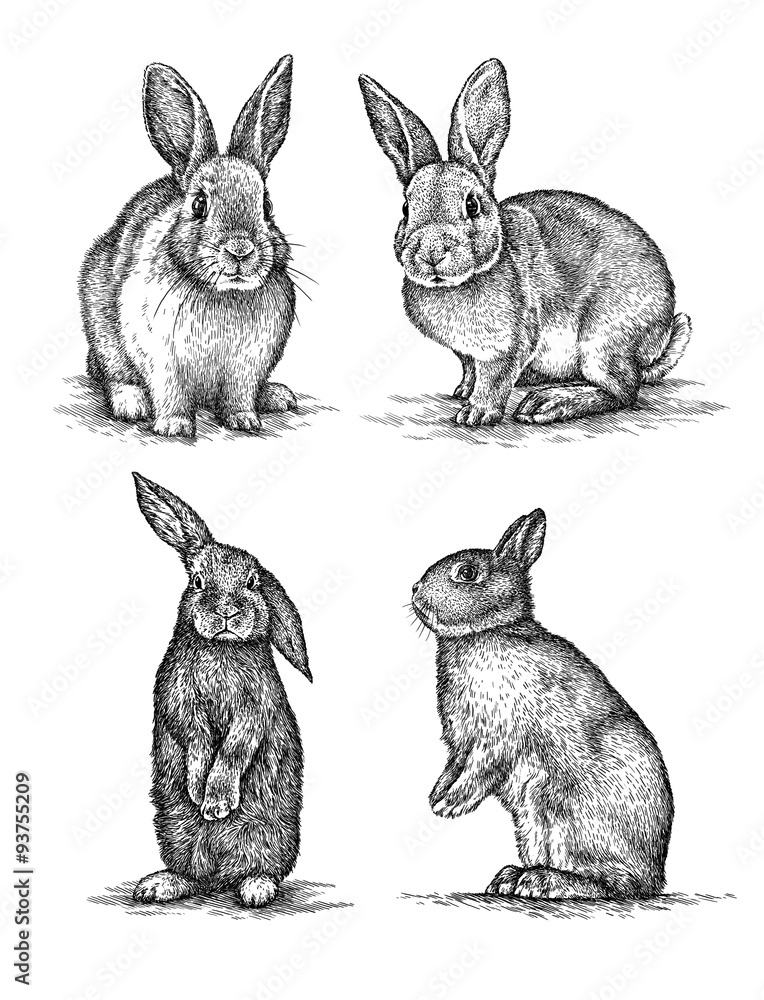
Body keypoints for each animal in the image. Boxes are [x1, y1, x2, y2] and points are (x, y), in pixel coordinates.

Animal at [79, 56, 301, 438]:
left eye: (267, 206)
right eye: (198, 204)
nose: (240, 250)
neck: (224, 294)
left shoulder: (248, 364)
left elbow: (239, 394)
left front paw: (244, 419)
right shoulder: (161, 357)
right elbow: (170, 391)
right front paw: (175, 426)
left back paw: (275, 395)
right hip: (104, 336)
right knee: (114, 375)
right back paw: (130, 403)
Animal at [130, 473, 311, 908]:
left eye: (252, 581)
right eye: (197, 581)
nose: (227, 611)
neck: (222, 649)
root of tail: (220, 876)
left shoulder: (255, 707)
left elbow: (234, 748)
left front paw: (215, 803)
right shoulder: (179, 698)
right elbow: (196, 740)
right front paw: (200, 793)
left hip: (271, 834)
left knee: (261, 867)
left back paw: (255, 889)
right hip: (175, 830)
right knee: (194, 874)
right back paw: (160, 885)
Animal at [359, 58, 692, 427]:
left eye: (472, 205)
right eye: (406, 209)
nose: (432, 253)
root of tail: (660, 335)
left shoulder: (511, 342)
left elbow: (495, 378)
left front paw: (477, 413)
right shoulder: (468, 353)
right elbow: (471, 369)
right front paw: (462, 392)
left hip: (604, 341)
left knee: (623, 391)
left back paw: (548, 404)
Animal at [410, 509, 674, 899]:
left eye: (468, 573)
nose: (414, 589)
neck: (487, 633)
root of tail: (656, 876)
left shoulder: (497, 737)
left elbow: (479, 770)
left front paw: (449, 805)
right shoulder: (462, 742)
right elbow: (454, 765)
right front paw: (437, 796)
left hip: (571, 821)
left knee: (612, 884)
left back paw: (543, 882)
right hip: (534, 825)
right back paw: (511, 878)